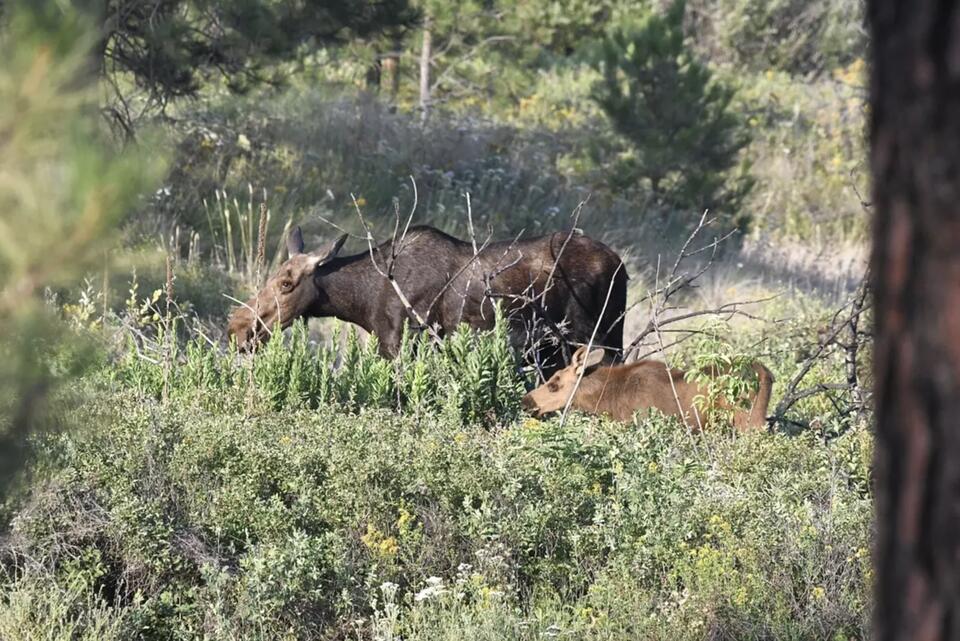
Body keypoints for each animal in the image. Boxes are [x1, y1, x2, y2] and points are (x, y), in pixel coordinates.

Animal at [227, 225, 628, 376]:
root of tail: (620, 264)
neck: (360, 300)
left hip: (594, 334)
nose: (238, 328)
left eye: (286, 283)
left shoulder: (399, 341)